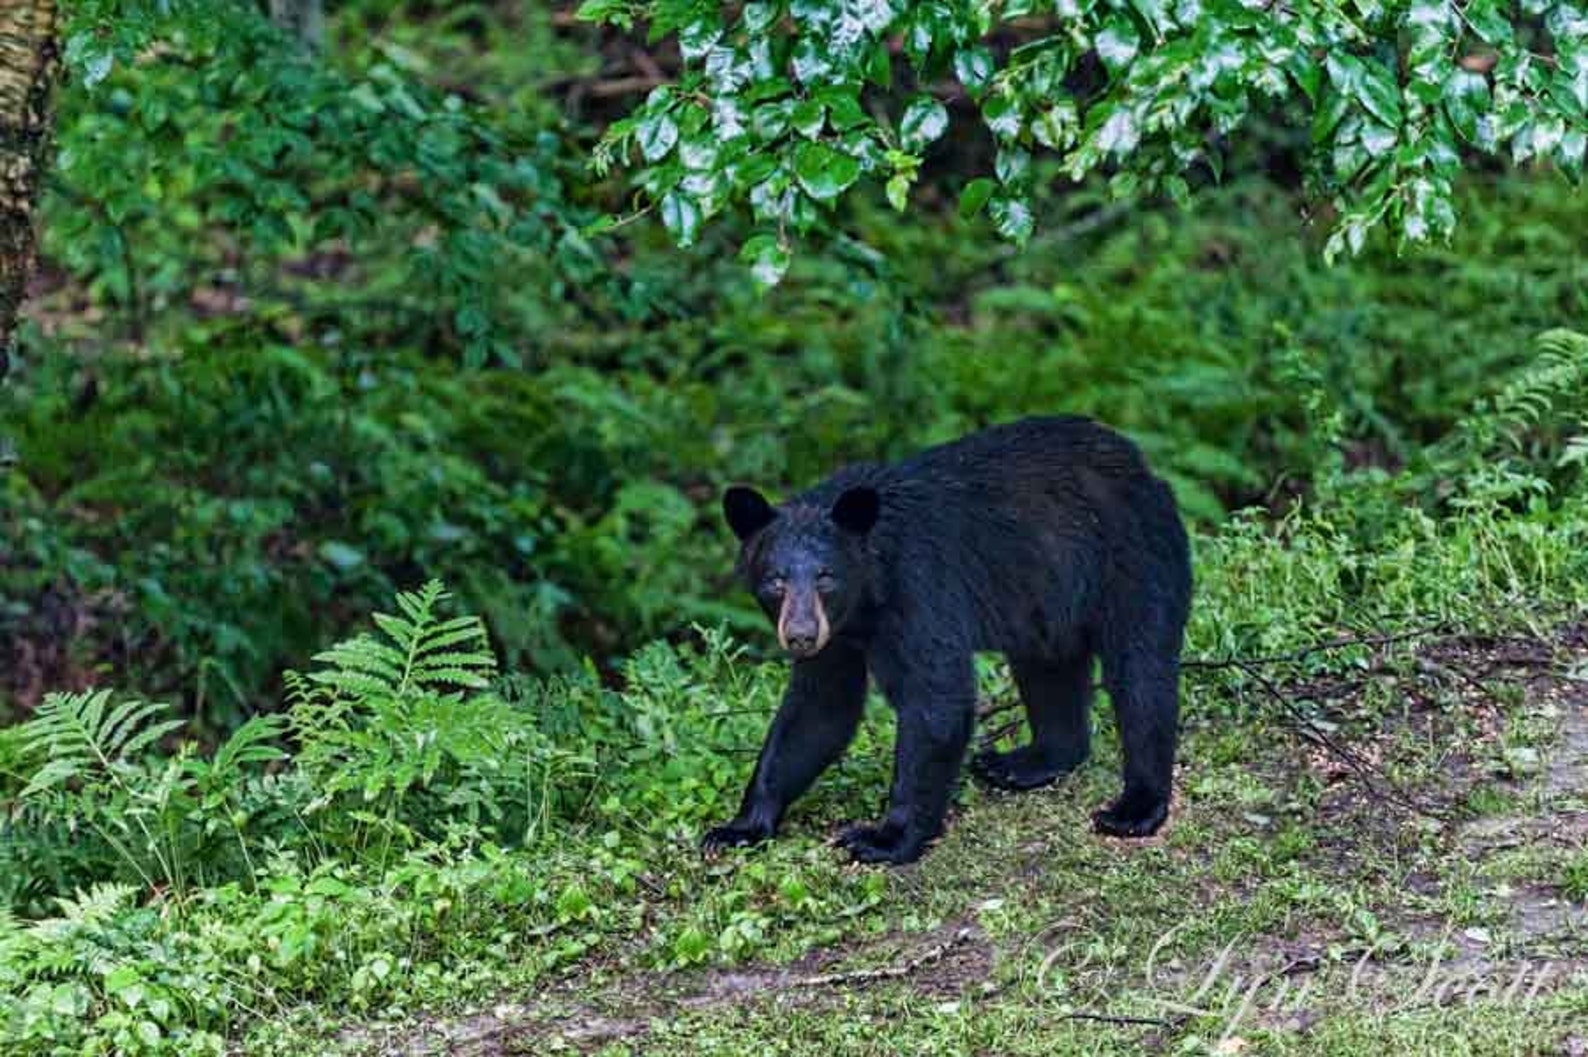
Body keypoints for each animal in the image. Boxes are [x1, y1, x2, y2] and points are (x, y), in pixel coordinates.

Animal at [702, 416, 1192, 865]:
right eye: (775, 580)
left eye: (826, 577)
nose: (801, 636)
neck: (868, 594)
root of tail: (1142, 465)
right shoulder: (837, 636)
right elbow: (817, 710)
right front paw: (739, 826)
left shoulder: (920, 589)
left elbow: (936, 699)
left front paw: (885, 837)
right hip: (1045, 598)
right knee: (1048, 669)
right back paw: (1027, 762)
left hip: (1131, 559)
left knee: (1141, 672)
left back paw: (1135, 806)